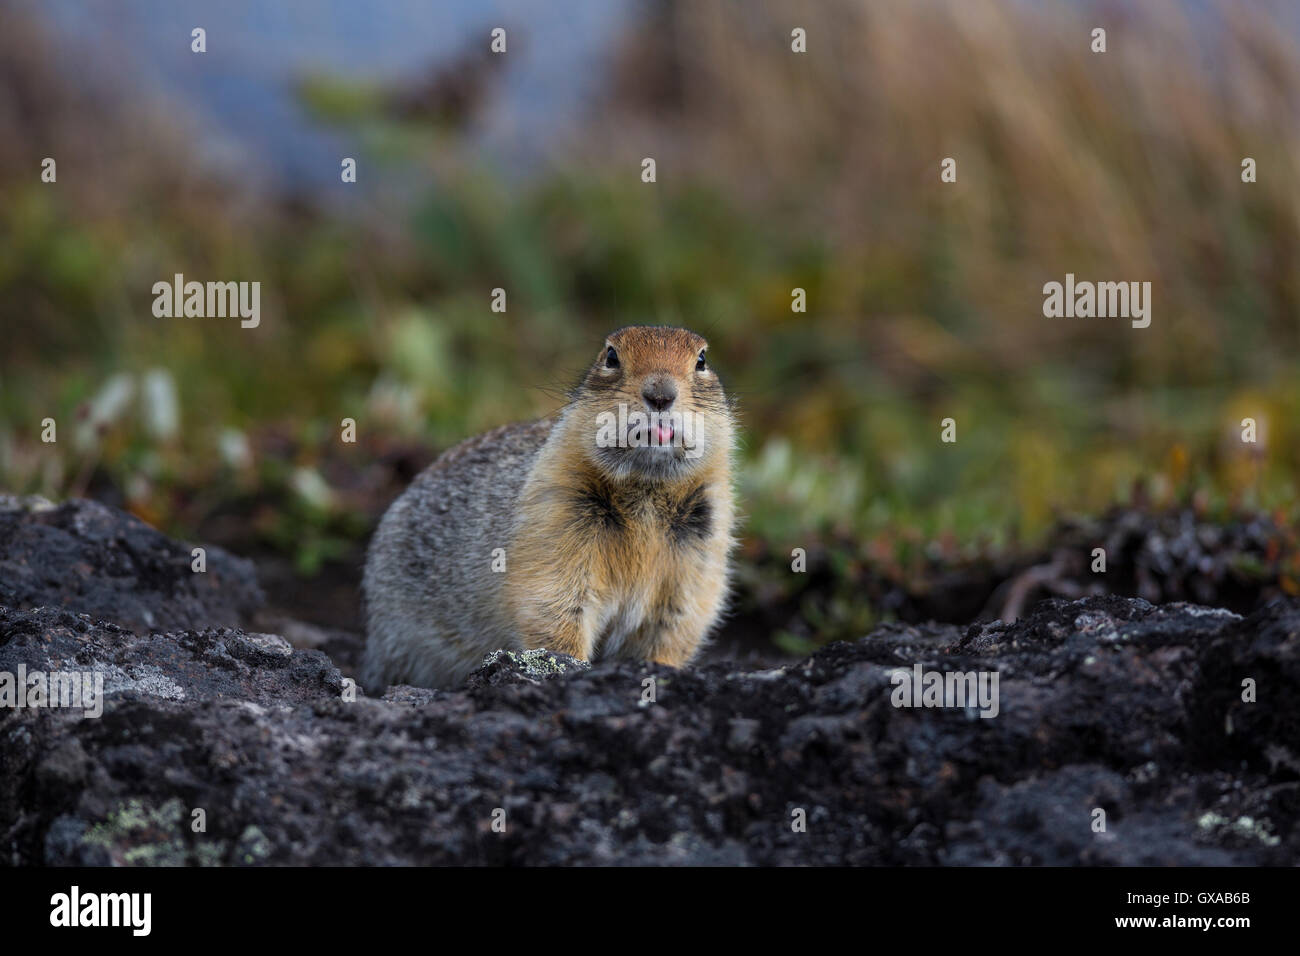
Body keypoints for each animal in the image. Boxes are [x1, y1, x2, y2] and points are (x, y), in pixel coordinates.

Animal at [360, 325, 737, 690]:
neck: (646, 489)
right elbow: (556, 605)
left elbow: (675, 623)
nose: (660, 394)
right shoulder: (556, 511)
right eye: (611, 356)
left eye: (701, 360)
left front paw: (659, 669)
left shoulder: (701, 548)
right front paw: (567, 666)